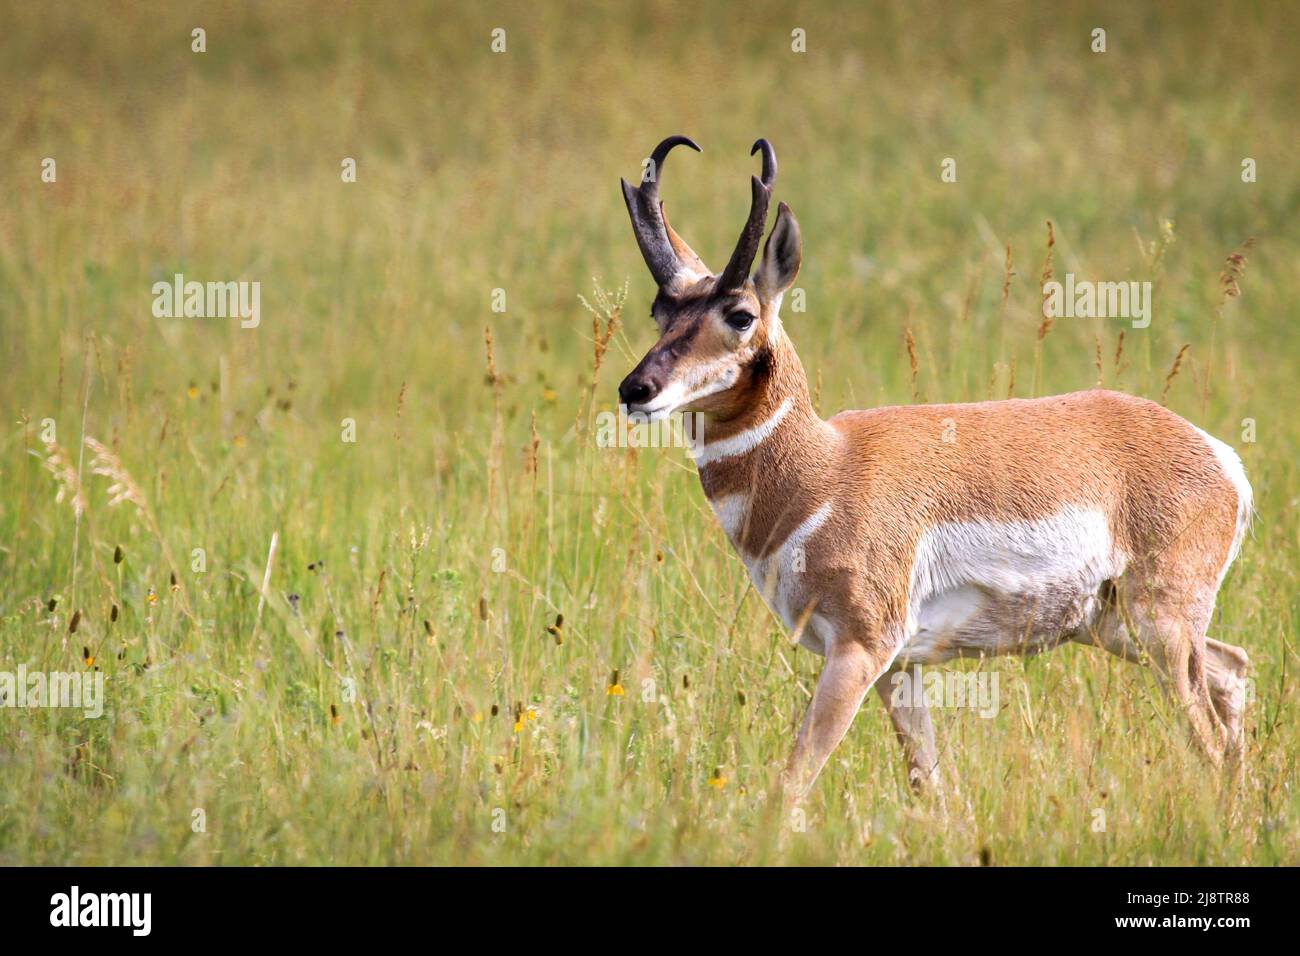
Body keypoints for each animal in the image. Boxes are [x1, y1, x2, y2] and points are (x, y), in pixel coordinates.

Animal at [617, 136, 1253, 797]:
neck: (824, 469)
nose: (635, 389)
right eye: (660, 311)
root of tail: (1219, 456)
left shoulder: (860, 649)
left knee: (1208, 735)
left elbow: (793, 779)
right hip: (1117, 627)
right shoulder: (900, 667)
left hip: (1161, 627)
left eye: (739, 315)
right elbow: (930, 788)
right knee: (1233, 671)